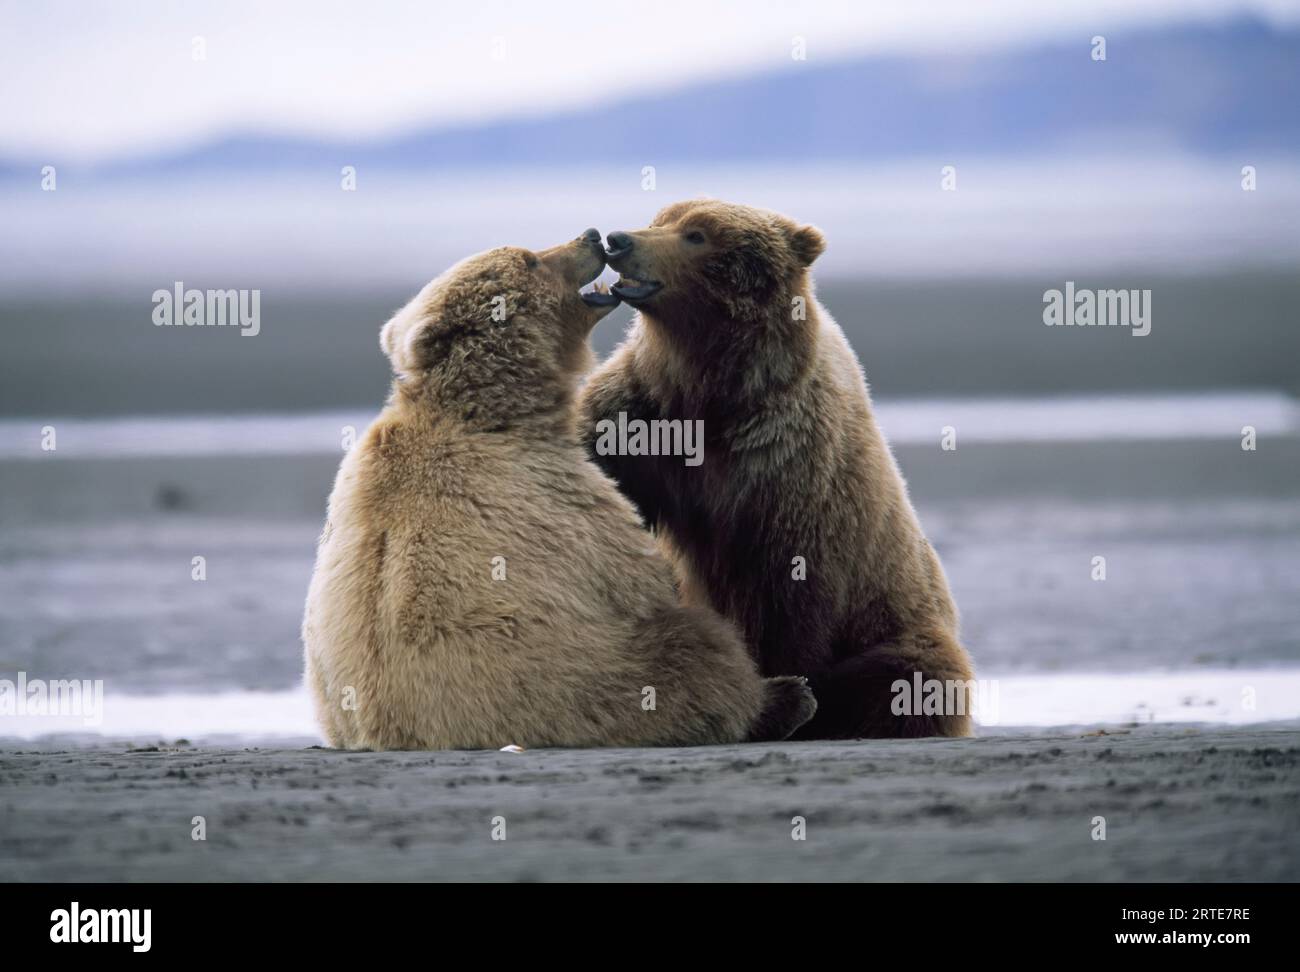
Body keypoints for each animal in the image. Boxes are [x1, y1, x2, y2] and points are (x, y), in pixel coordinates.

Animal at [301, 229, 816, 750]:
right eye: (531, 259)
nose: (590, 236)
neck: (498, 408)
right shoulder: (551, 489)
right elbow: (630, 568)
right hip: (585, 680)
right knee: (696, 658)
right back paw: (785, 696)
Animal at [579, 200, 976, 739]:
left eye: (696, 234)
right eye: (662, 218)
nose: (619, 240)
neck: (715, 393)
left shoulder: (790, 471)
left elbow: (785, 593)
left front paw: (780, 687)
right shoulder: (642, 415)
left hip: (902, 622)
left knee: (914, 677)